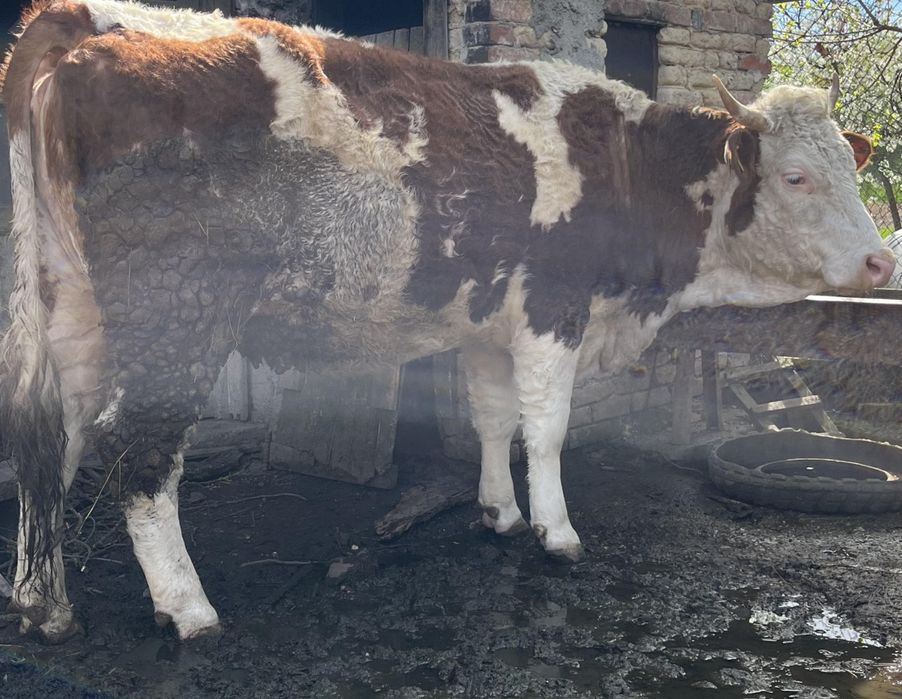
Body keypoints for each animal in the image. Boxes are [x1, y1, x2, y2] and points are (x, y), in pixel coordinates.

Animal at [0, 0, 894, 644]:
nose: (880, 264)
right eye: (796, 176)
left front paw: (499, 512)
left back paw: (43, 603)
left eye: (851, 169)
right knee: (136, 450)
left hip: (73, 309)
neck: (628, 167)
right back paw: (188, 608)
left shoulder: (488, 318)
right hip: (179, 311)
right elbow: (546, 428)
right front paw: (557, 532)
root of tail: (86, 16)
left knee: (57, 435)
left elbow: (493, 417)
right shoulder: (553, 306)